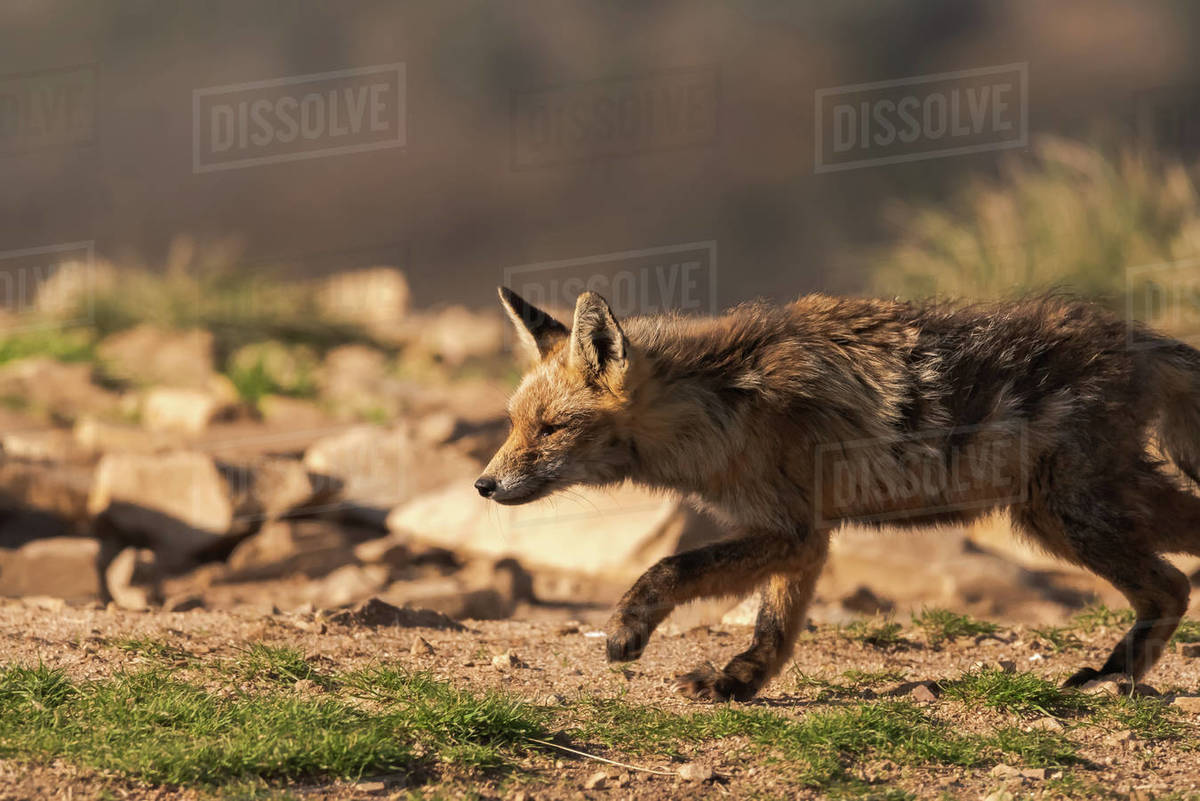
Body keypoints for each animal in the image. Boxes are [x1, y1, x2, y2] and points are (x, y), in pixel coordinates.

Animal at [475, 286, 1200, 702]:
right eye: (513, 424)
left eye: (550, 428)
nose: (483, 485)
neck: (724, 405)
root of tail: (1137, 335)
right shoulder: (805, 532)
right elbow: (776, 626)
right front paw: (738, 682)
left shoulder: (788, 529)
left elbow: (671, 566)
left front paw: (630, 627)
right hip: (1063, 515)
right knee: (1169, 583)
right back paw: (1117, 673)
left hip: (1072, 513)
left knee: (1170, 580)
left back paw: (1115, 676)